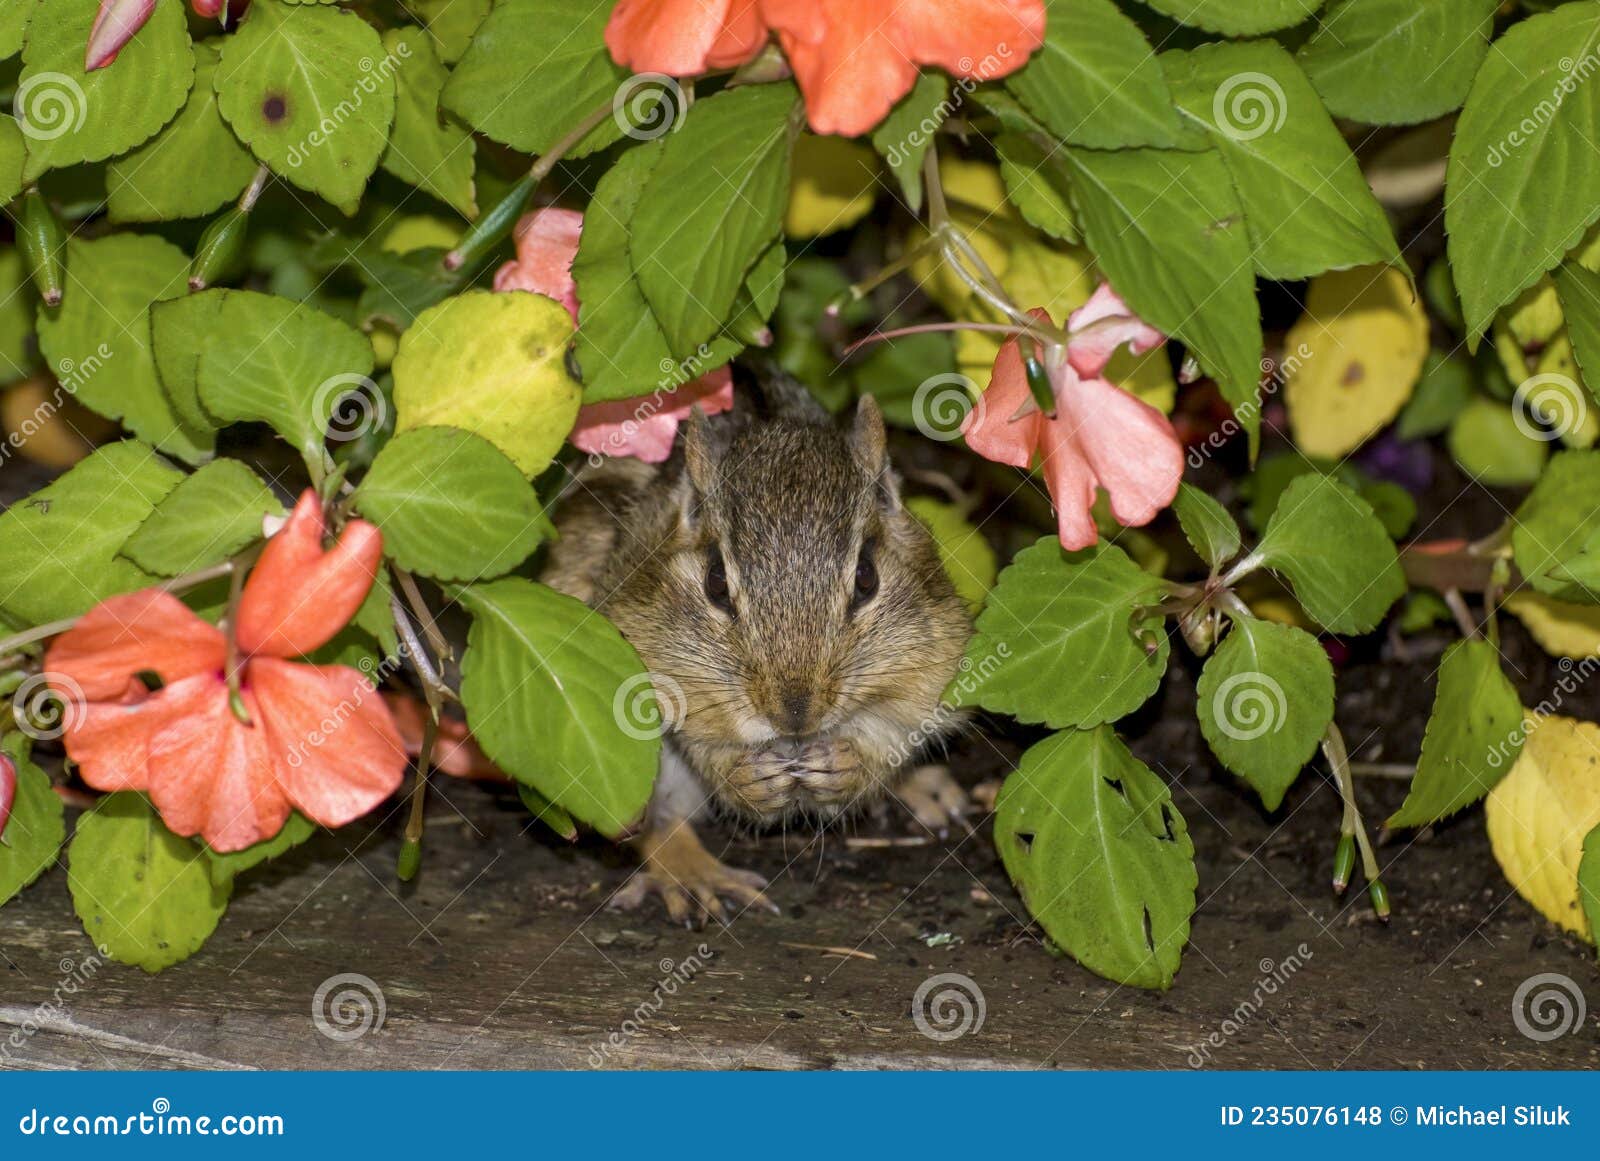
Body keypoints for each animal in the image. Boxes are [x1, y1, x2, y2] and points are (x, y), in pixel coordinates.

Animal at [542, 368, 973, 925]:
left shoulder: (932, 666)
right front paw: (744, 777)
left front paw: (847, 766)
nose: (794, 716)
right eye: (716, 582)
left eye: (866, 577)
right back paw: (696, 876)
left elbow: (892, 735)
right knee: (647, 819)